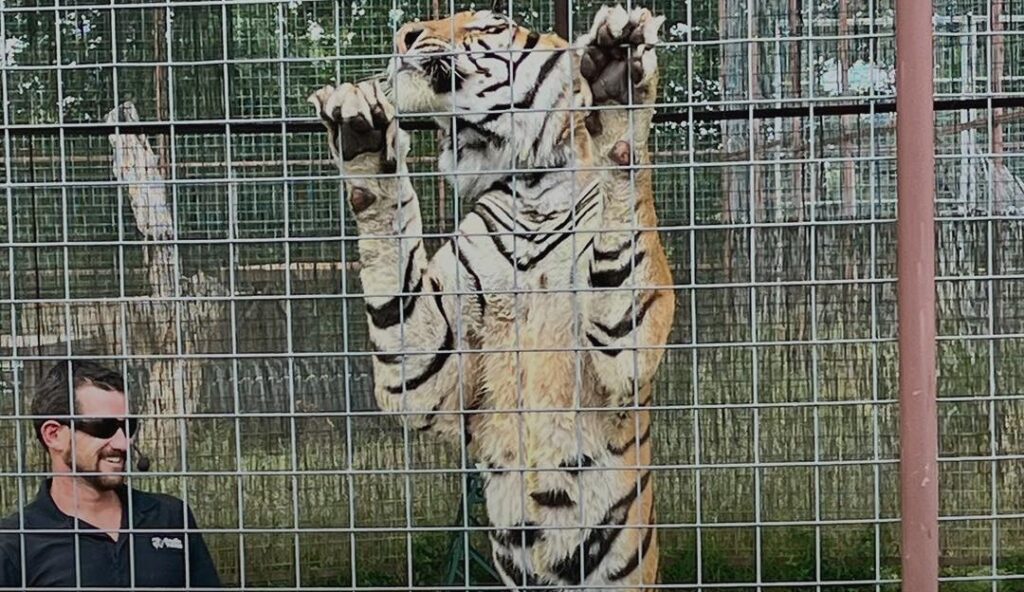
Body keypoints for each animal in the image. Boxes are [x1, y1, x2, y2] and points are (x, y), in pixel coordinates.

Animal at [309, 5, 675, 591]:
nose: (404, 34)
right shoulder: (436, 376)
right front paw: (361, 134)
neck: (532, 189)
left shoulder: (627, 348)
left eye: (490, 25)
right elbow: (397, 283)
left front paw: (619, 82)